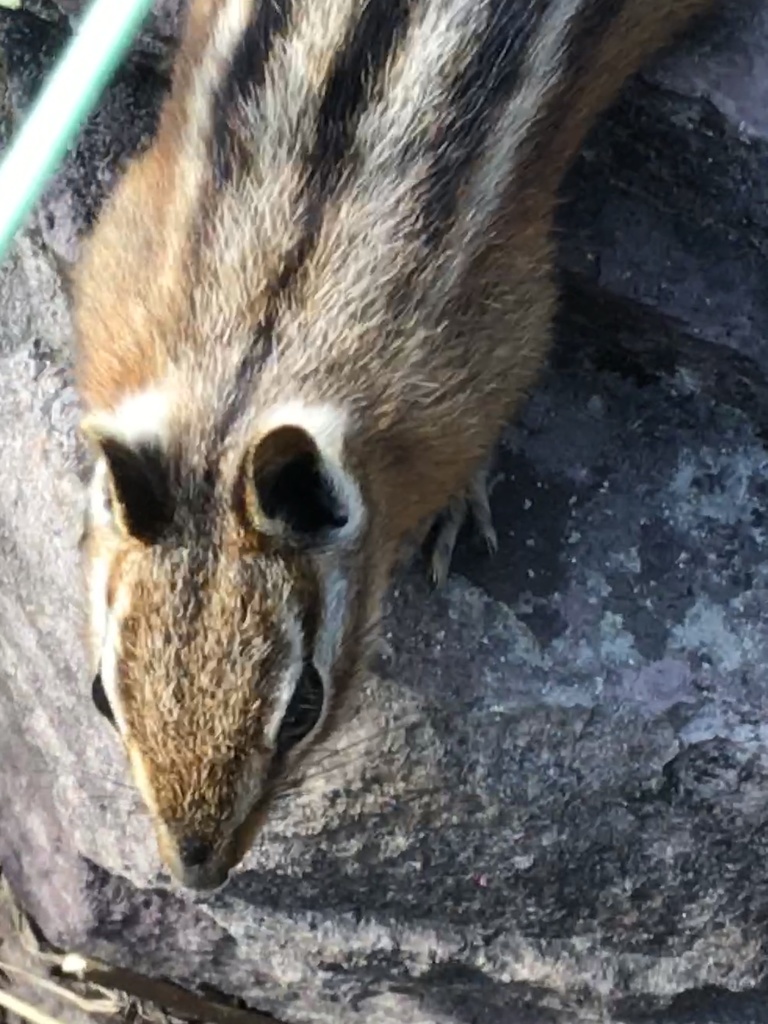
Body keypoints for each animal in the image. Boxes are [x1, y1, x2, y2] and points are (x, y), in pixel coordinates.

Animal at [71, 0, 718, 890]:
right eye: (103, 696)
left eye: (304, 707)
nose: (196, 873)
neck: (256, 351)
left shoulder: (504, 330)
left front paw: (457, 510)